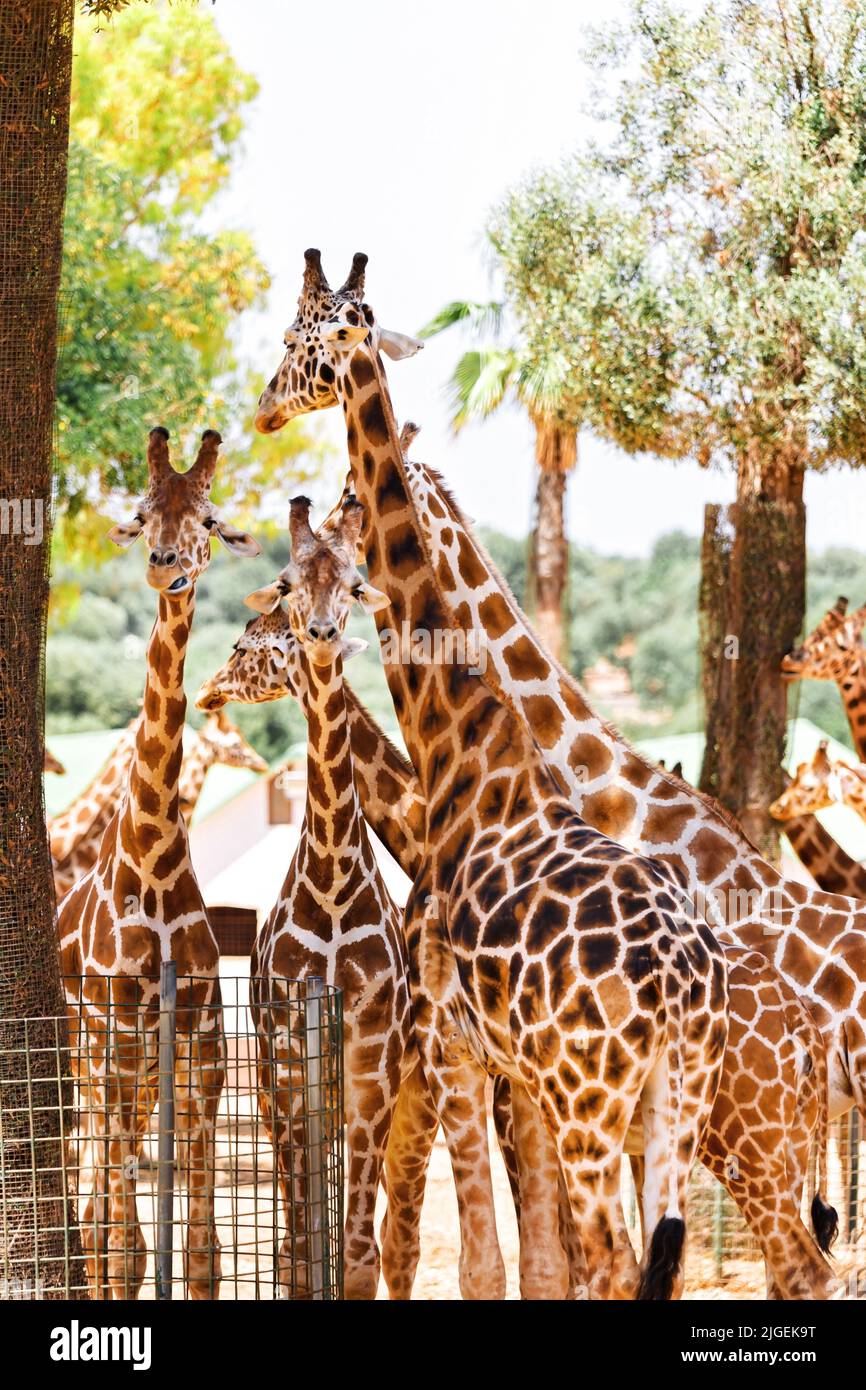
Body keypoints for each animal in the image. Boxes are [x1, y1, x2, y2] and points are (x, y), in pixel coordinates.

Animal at [199, 605, 840, 1299]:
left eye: (242, 645)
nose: (208, 691)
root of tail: (805, 1035)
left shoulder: (499, 1095)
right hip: (759, 1142)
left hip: (740, 1143)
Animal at [254, 248, 866, 1287]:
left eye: (302, 339)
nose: (261, 406)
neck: (473, 751)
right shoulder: (512, 1074)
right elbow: (540, 1263)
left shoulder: (462, 1053)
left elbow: (500, 1263)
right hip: (677, 1106)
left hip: (653, 1111)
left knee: (685, 1259)